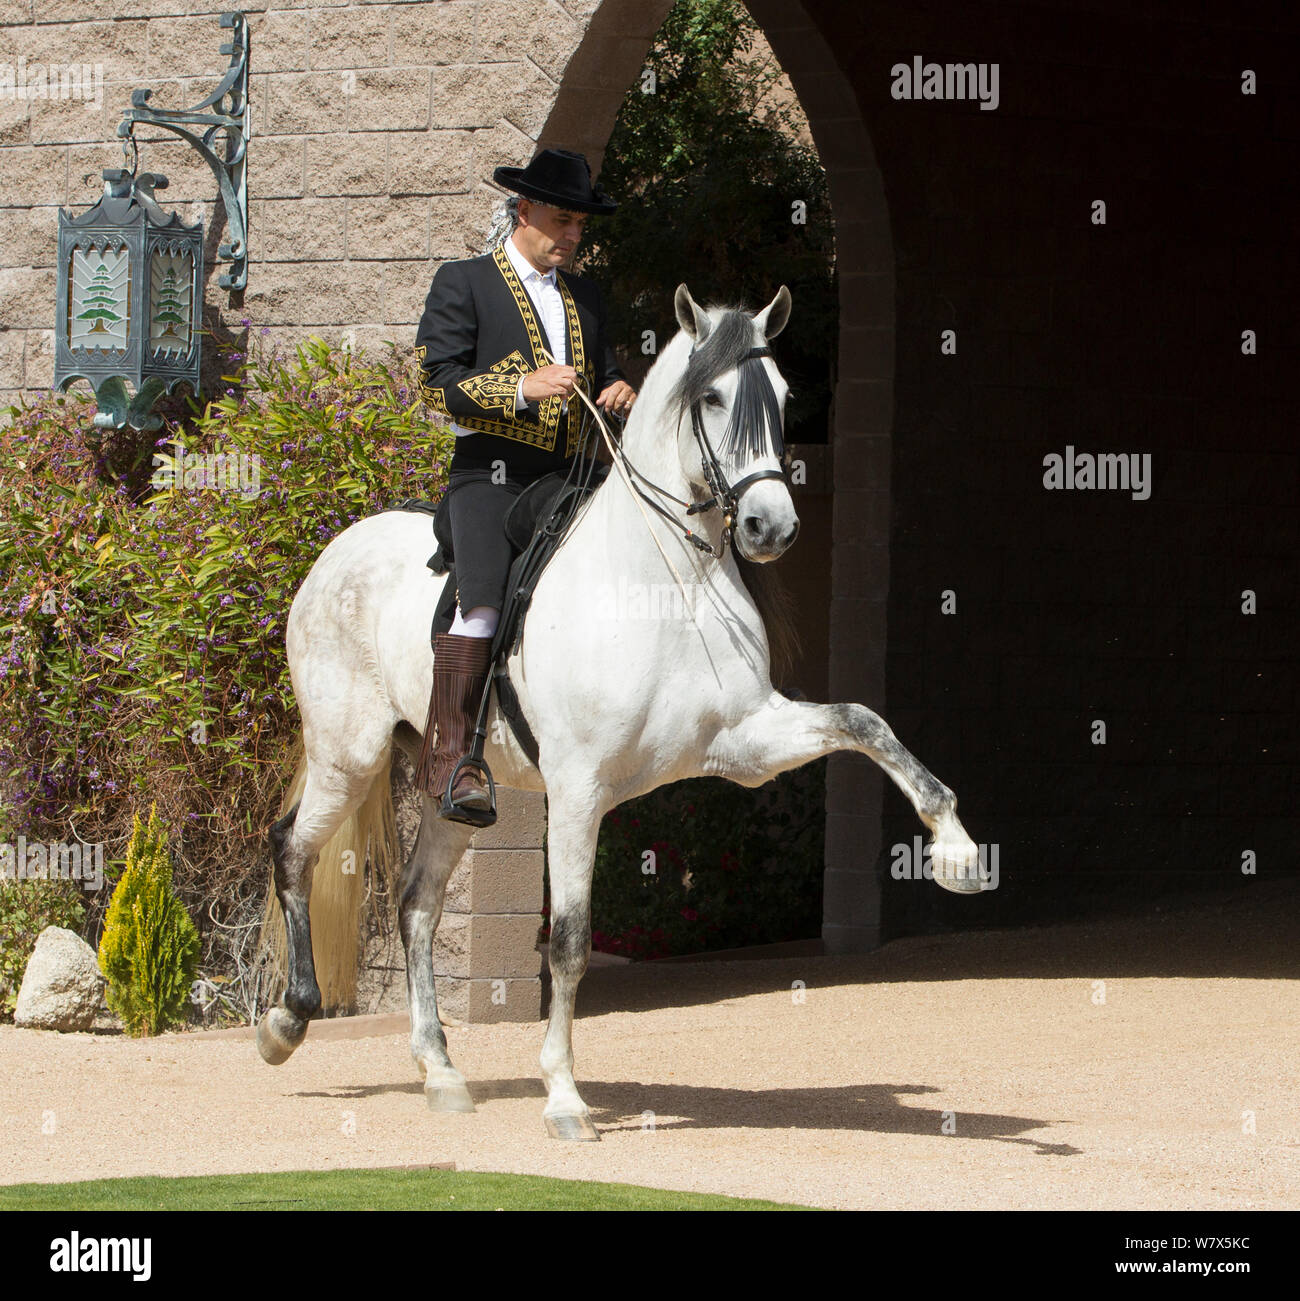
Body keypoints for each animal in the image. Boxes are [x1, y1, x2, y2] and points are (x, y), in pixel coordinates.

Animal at [257, 283, 989, 1142]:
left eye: (782, 398)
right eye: (712, 398)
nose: (771, 527)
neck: (666, 585)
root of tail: (340, 550)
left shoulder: (747, 743)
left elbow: (864, 722)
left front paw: (956, 850)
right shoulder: (580, 789)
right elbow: (570, 942)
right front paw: (565, 1099)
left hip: (451, 789)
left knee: (416, 904)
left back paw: (439, 1070)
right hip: (349, 756)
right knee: (294, 850)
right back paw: (286, 1023)